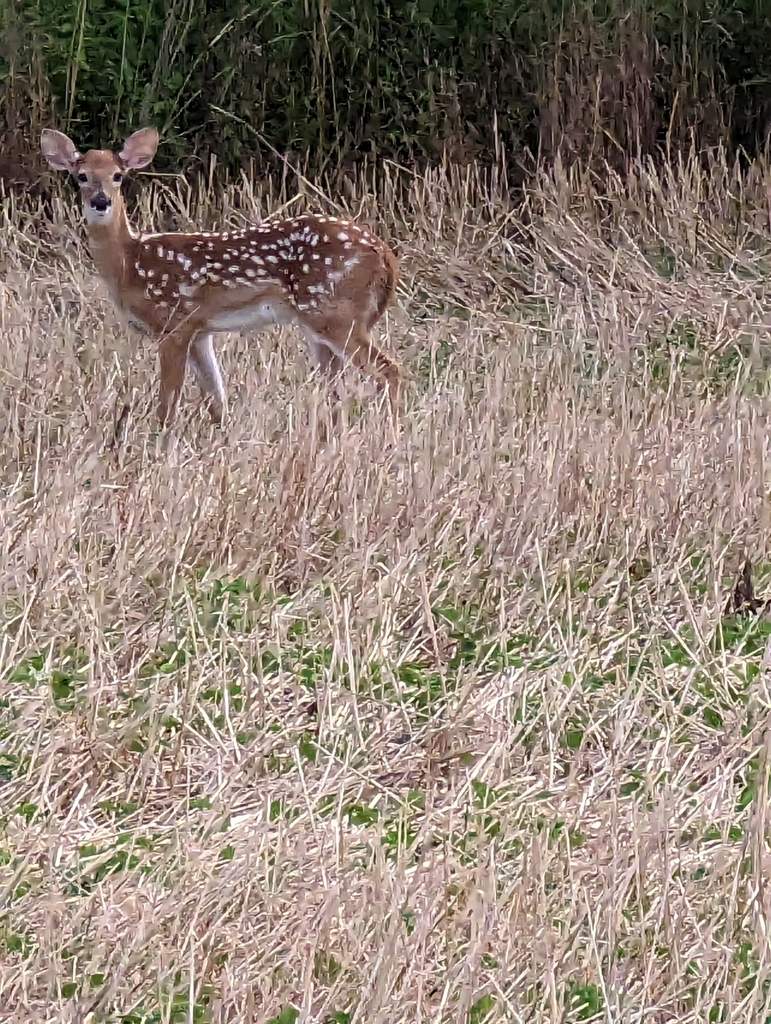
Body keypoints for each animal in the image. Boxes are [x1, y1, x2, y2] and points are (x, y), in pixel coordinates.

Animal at [40, 127, 401, 436]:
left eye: (118, 175)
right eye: (81, 176)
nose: (100, 201)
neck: (131, 263)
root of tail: (384, 254)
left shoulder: (173, 323)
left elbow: (167, 406)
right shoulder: (201, 332)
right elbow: (217, 401)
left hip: (336, 314)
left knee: (389, 371)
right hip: (321, 327)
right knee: (337, 391)